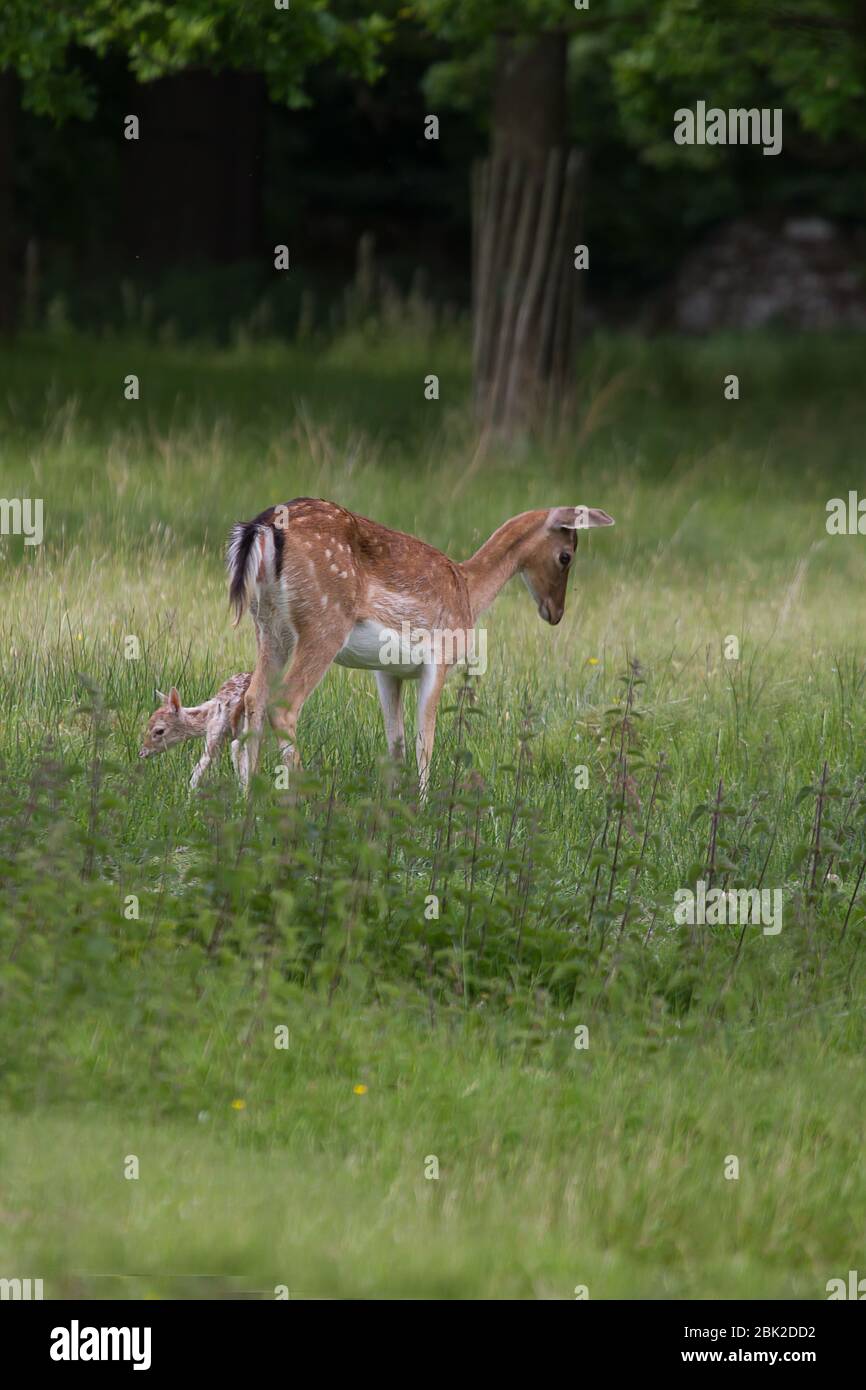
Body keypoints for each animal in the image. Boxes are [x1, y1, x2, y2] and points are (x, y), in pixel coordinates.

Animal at [227, 498, 615, 796]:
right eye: (566, 556)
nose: (556, 612)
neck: (469, 592)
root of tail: (263, 527)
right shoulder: (440, 657)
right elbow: (424, 741)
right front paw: (423, 803)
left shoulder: (387, 670)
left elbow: (395, 741)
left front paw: (392, 800)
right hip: (324, 622)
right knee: (285, 704)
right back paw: (300, 796)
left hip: (269, 627)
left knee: (254, 698)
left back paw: (247, 795)